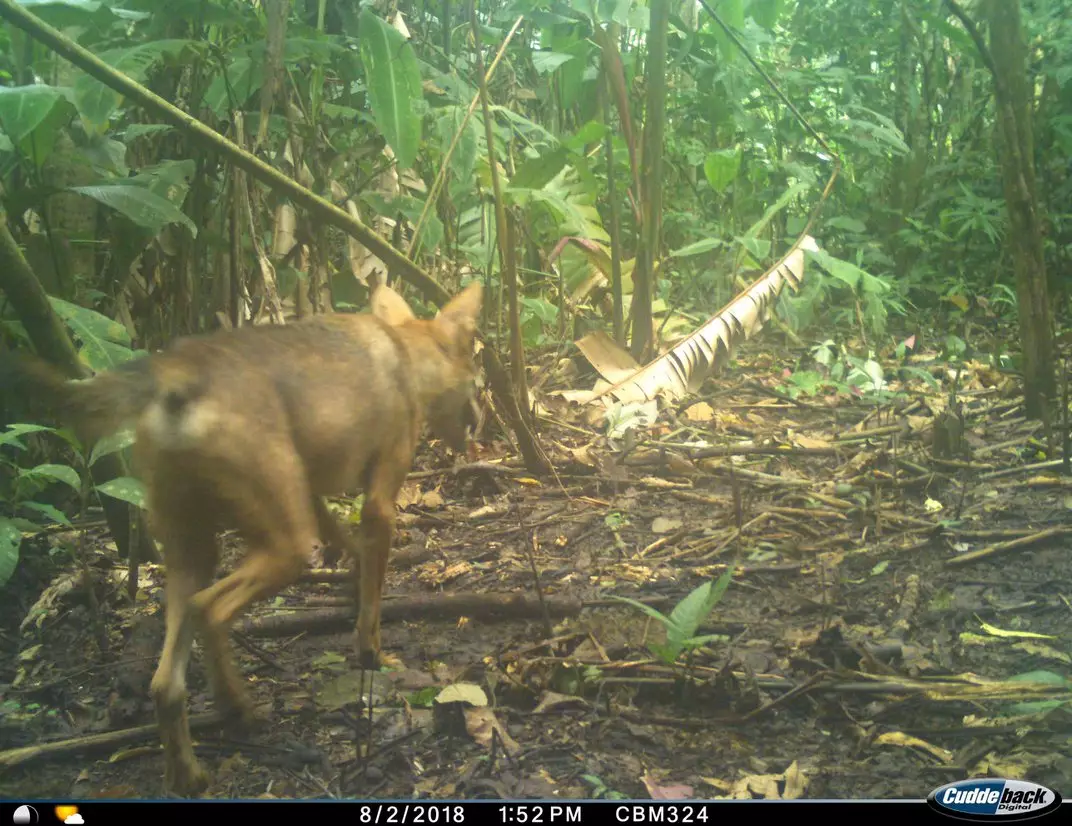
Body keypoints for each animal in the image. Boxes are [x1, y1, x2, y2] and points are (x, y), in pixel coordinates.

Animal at [0, 282, 484, 792]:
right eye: (476, 376)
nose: (481, 418)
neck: (405, 351)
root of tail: (176, 371)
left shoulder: (309, 492)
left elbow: (351, 549)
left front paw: (351, 586)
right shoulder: (379, 499)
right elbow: (373, 587)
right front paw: (373, 652)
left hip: (196, 549)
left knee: (165, 681)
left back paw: (190, 772)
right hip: (289, 549)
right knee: (210, 612)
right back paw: (238, 709)